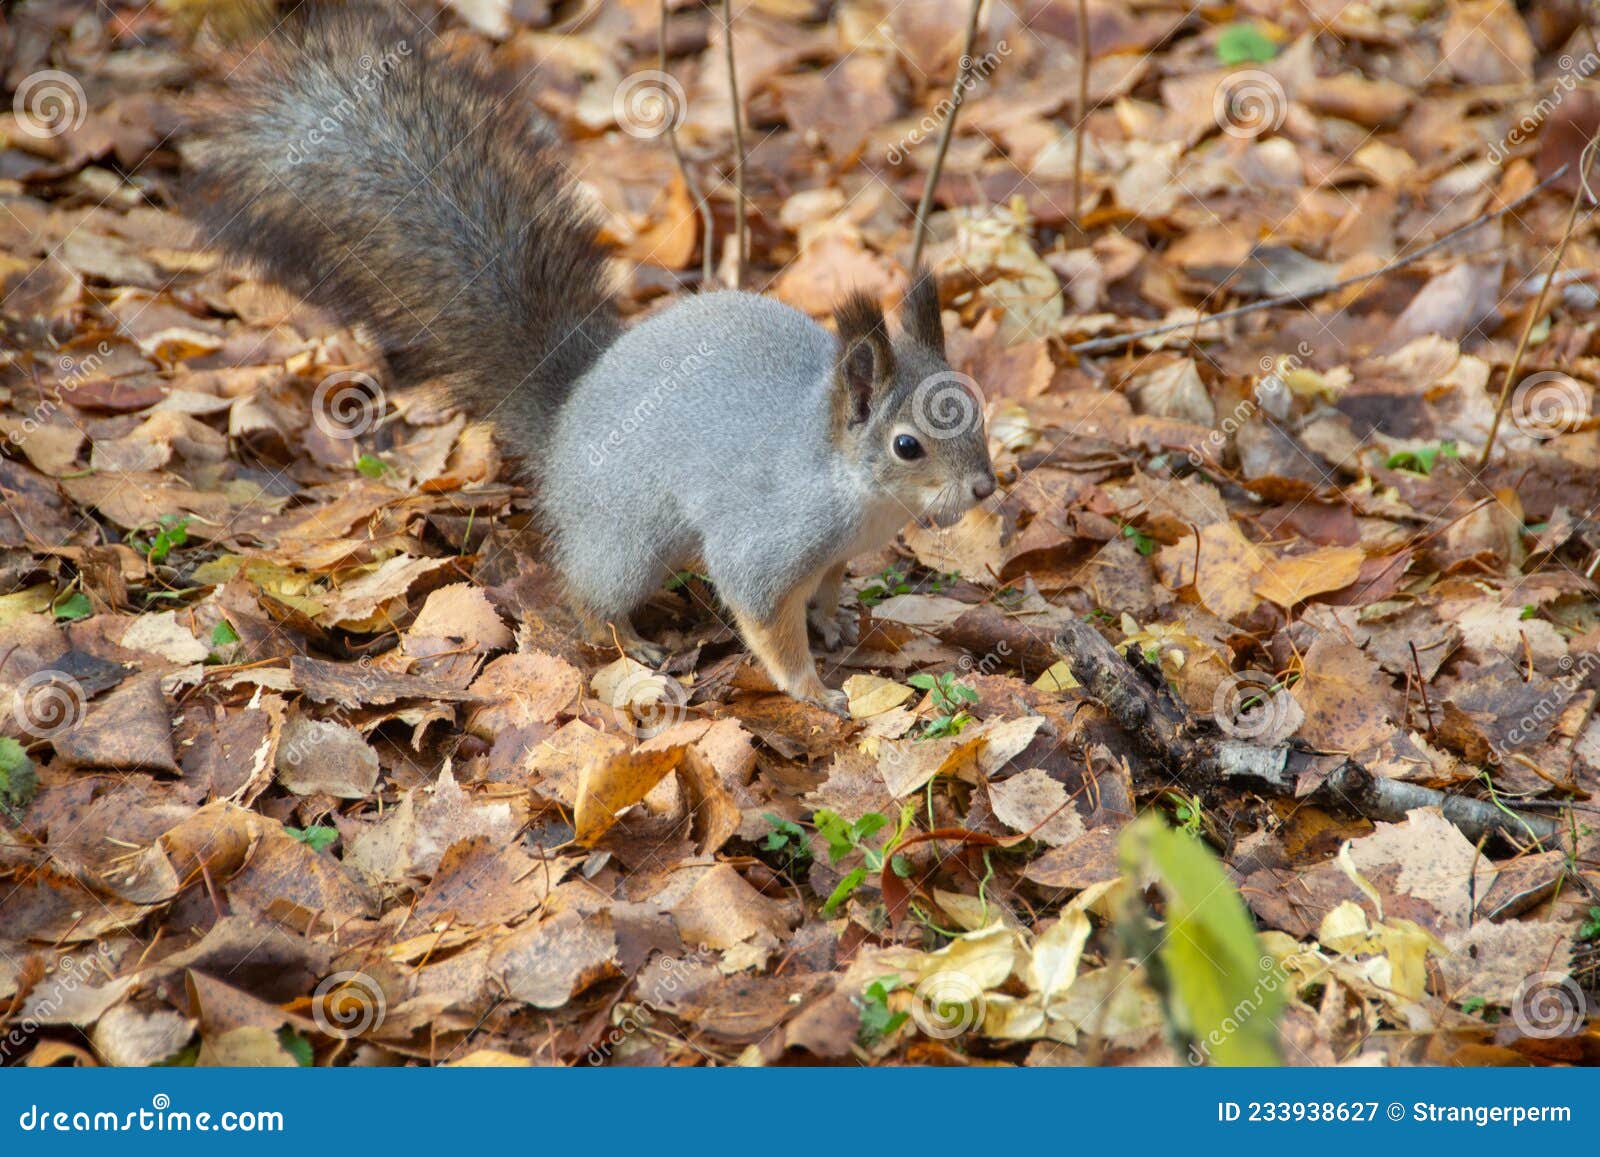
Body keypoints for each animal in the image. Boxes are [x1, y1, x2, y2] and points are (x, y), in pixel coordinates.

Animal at [186, 2, 996, 715]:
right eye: (907, 445)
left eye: (976, 406)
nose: (986, 488)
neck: (854, 486)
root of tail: (563, 421)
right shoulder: (769, 540)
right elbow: (768, 620)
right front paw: (813, 689)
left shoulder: (833, 554)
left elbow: (824, 593)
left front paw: (834, 621)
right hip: (627, 538)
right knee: (589, 590)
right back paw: (628, 641)